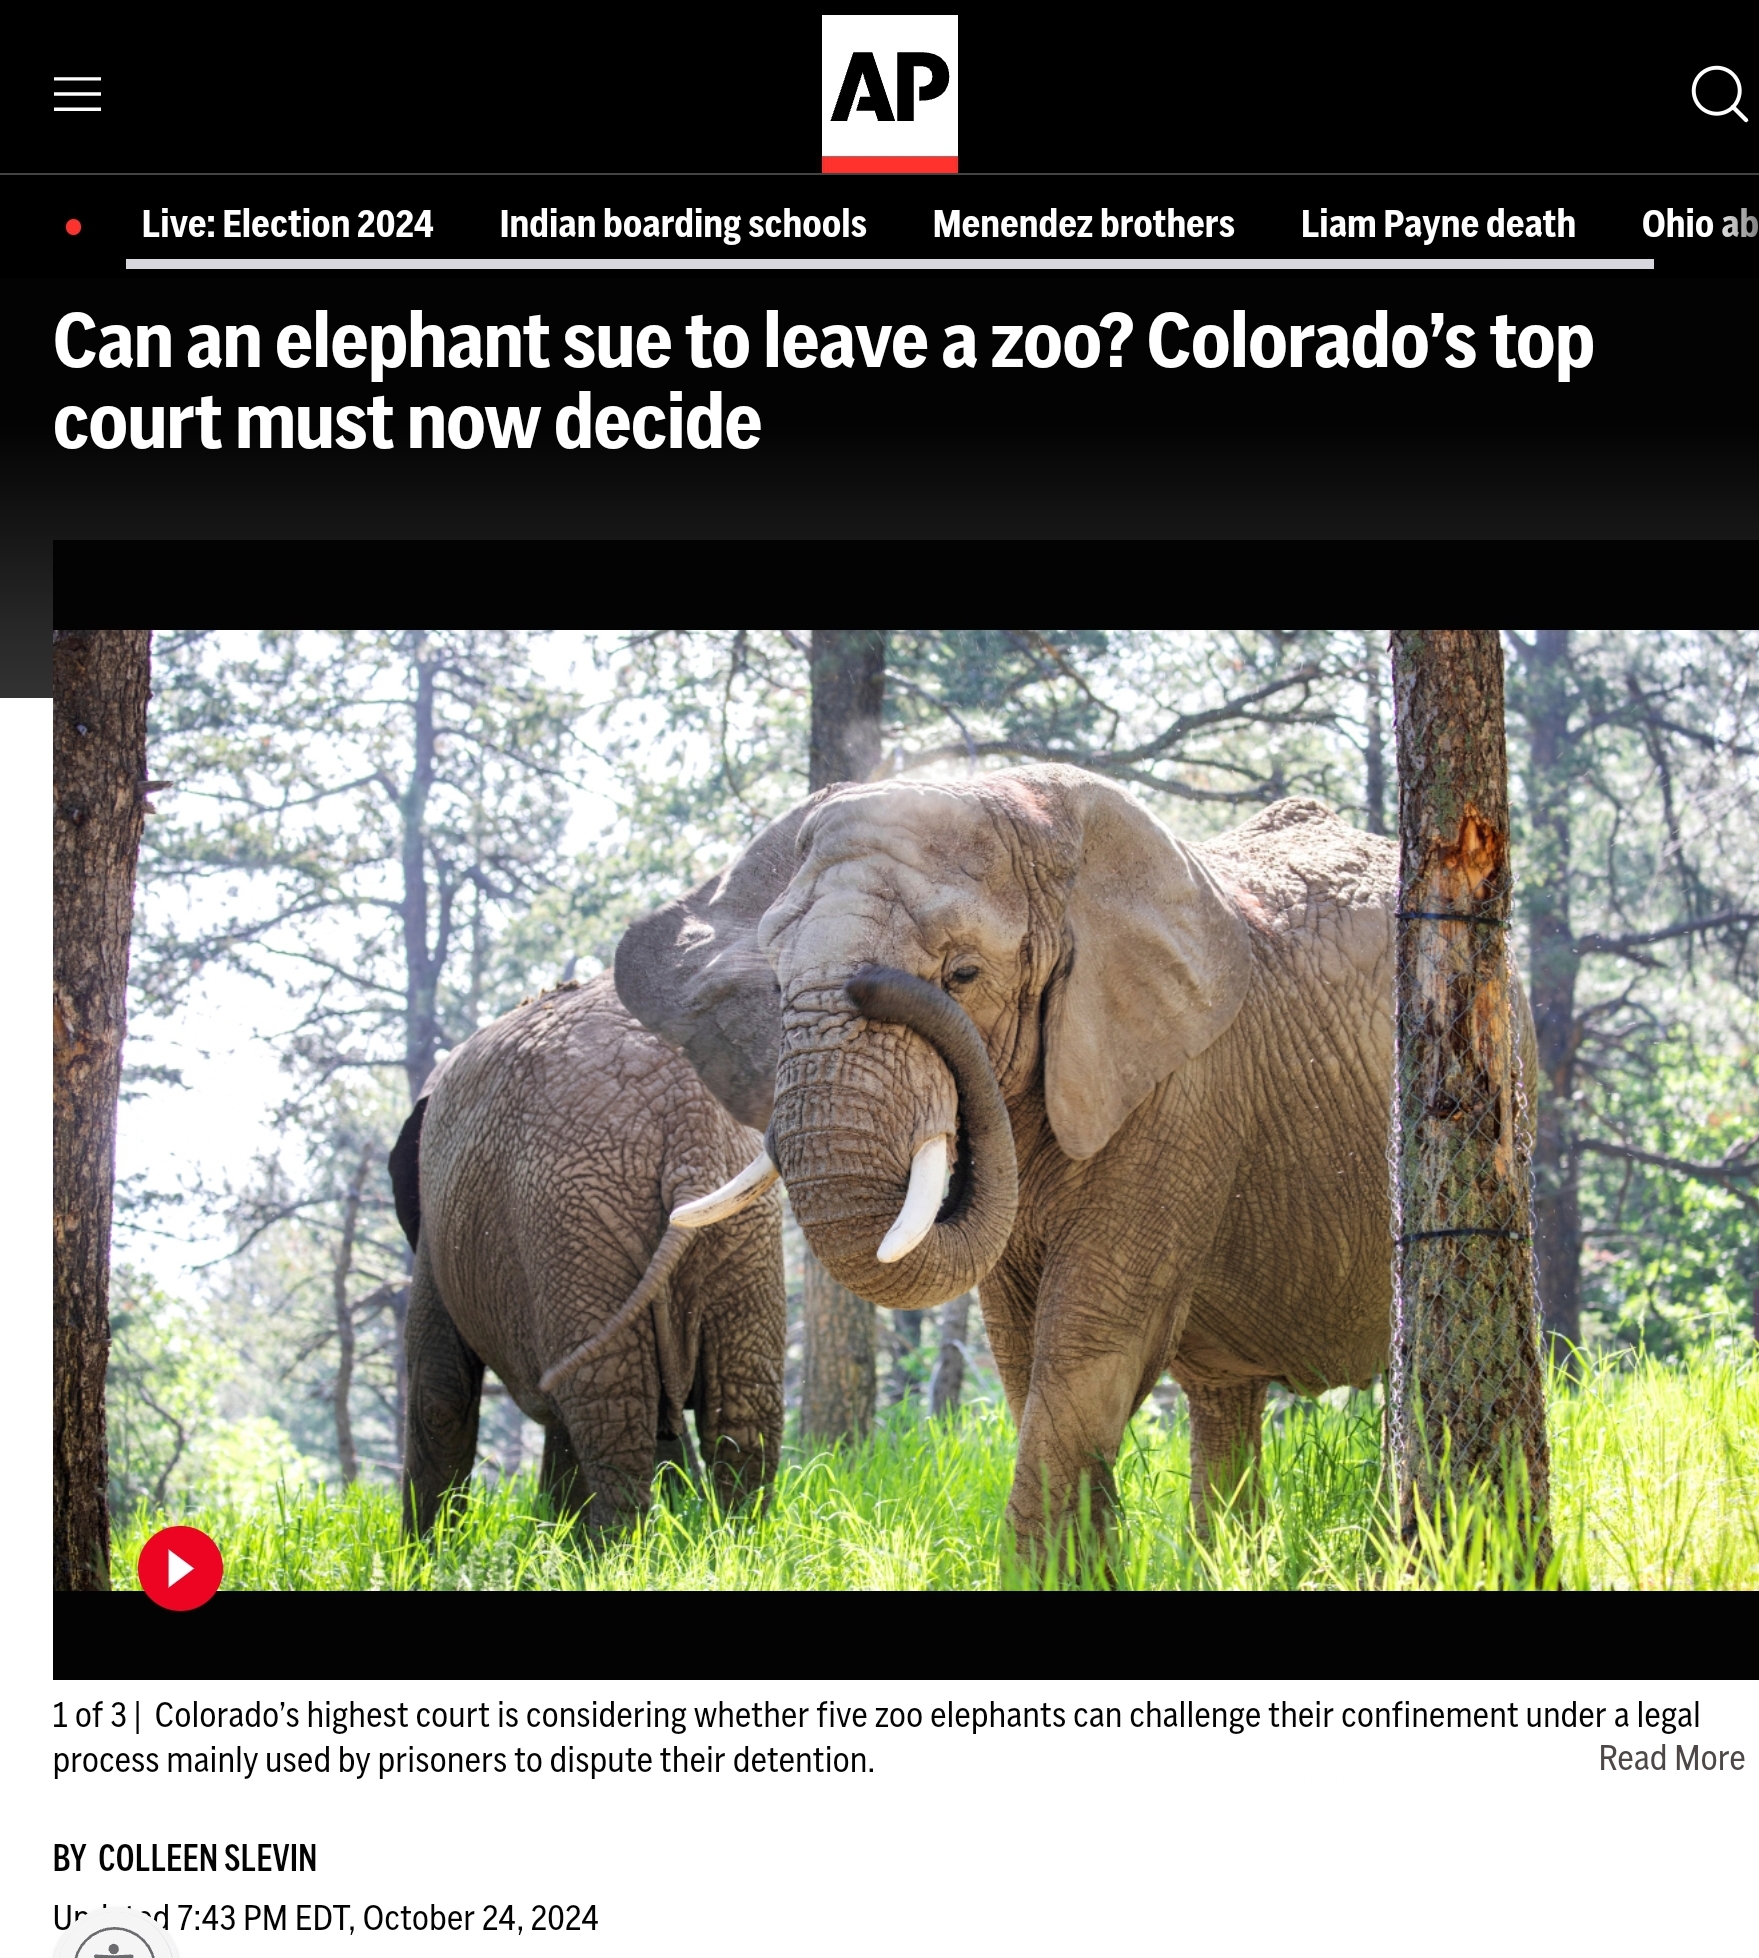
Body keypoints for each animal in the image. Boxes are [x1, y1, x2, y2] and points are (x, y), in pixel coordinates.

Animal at [388, 973, 786, 1536]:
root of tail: (686, 1122)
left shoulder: (436, 1231)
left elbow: (439, 1394)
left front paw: (423, 1555)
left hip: (572, 1222)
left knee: (610, 1411)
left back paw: (613, 1551)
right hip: (737, 1229)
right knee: (741, 1414)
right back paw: (734, 1543)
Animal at [615, 763, 1411, 1549]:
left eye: (964, 974)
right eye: (777, 983)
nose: (873, 983)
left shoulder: (1185, 1091)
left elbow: (1088, 1346)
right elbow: (1018, 1350)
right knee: (1222, 1399)